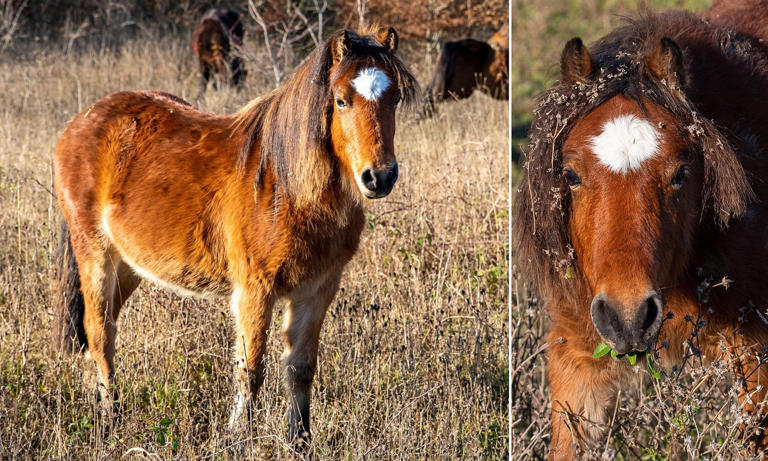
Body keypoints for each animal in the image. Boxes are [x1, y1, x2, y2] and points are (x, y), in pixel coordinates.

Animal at [53, 27, 417, 447]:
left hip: (129, 266)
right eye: (341, 100)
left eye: (395, 98)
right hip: (95, 254)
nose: (379, 177)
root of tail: (81, 122)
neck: (287, 186)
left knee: (100, 330)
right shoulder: (255, 290)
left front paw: (299, 441)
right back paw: (110, 419)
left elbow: (301, 368)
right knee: (99, 333)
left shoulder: (318, 289)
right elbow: (251, 368)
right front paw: (238, 437)